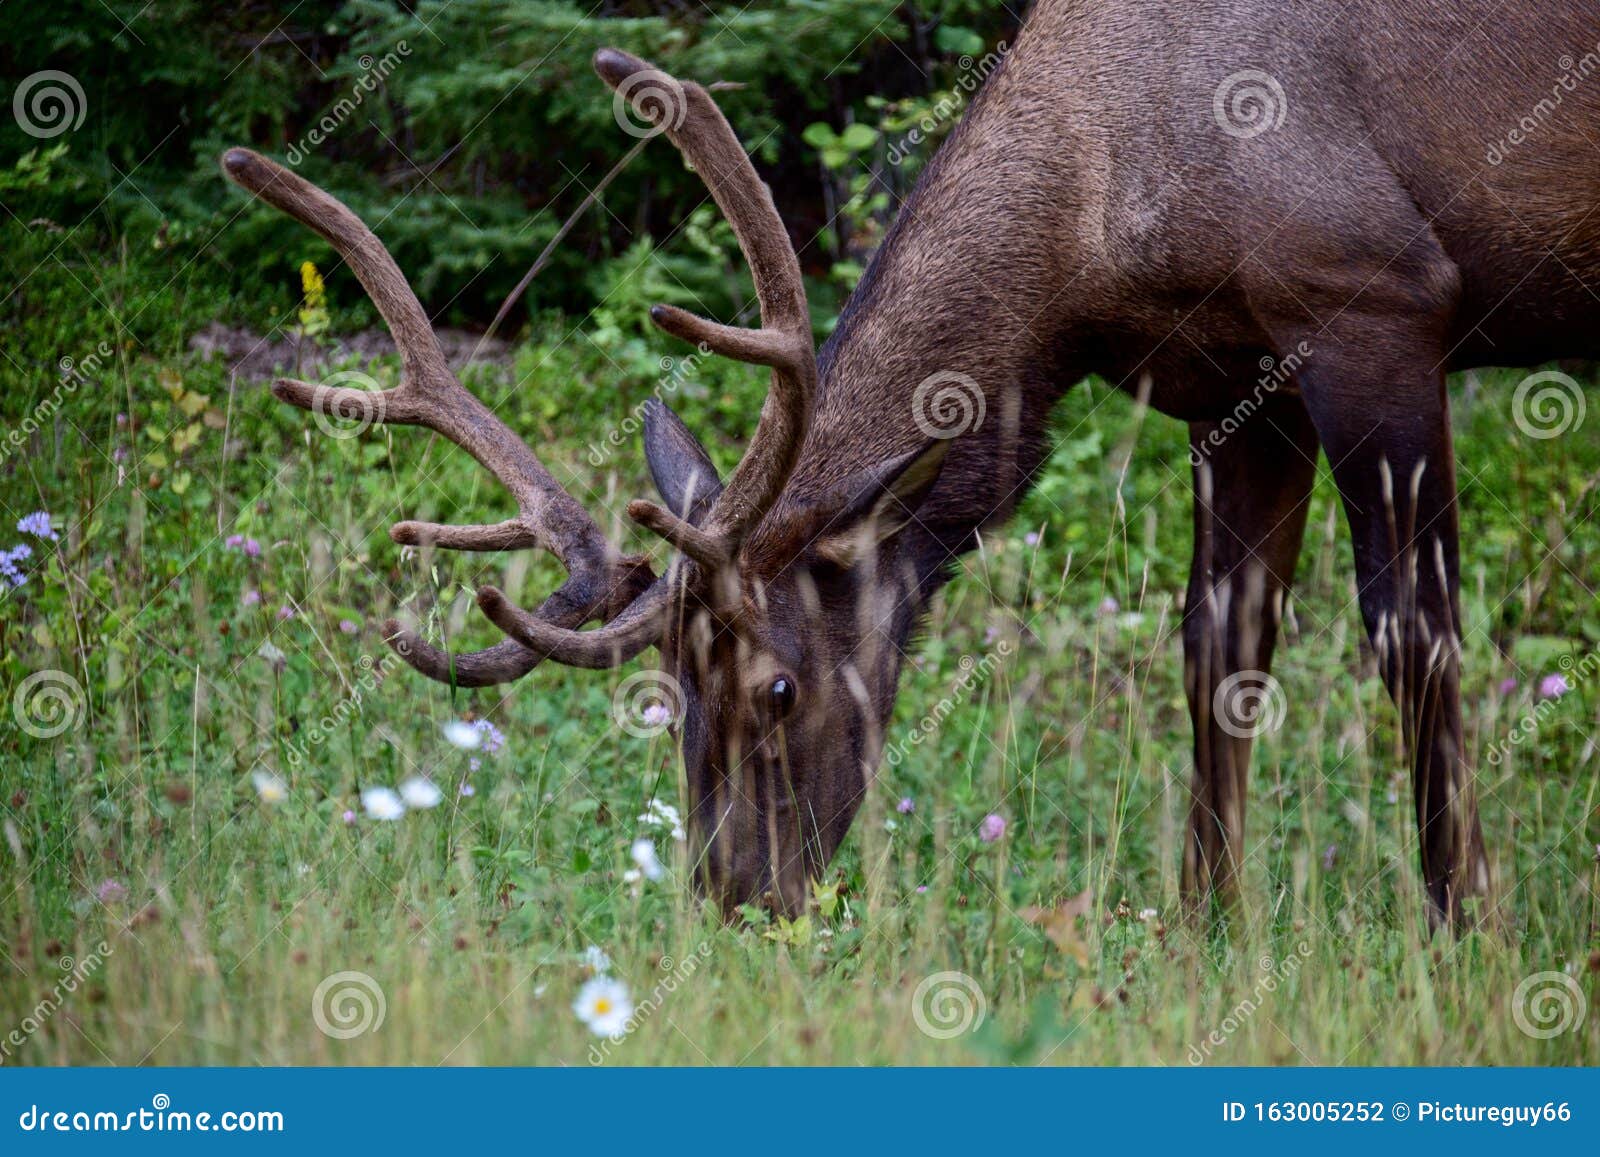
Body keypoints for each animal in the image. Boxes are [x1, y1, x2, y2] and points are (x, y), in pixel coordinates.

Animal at [222, 0, 1600, 929]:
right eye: (670, 689)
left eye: (777, 687)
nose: (737, 898)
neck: (1096, 219)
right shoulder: (1237, 383)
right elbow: (1220, 649)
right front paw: (1205, 926)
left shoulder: (1373, 296)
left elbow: (1412, 631)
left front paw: (1464, 924)